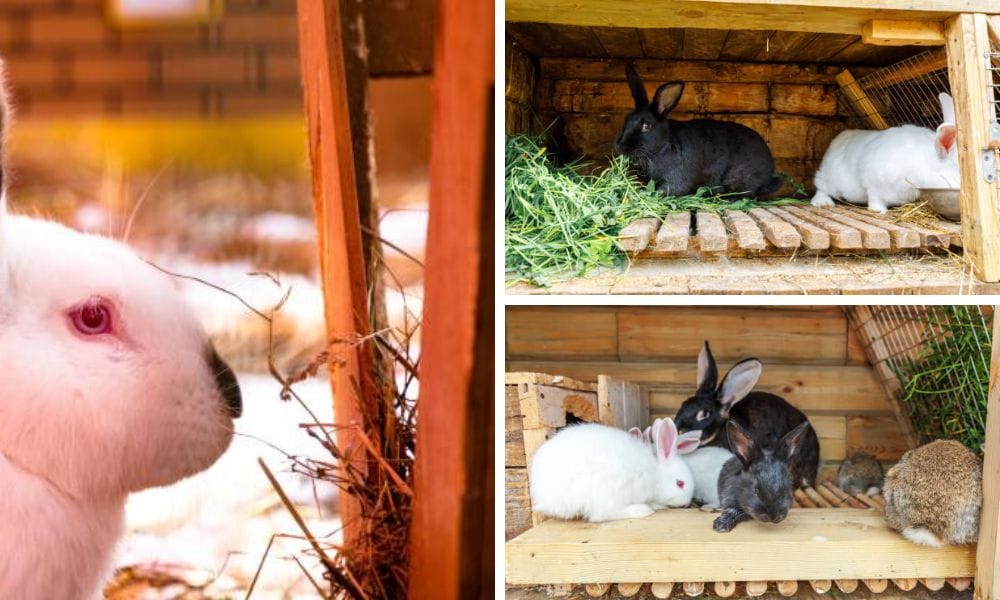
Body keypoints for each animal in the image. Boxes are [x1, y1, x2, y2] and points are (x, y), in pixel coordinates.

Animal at [529, 418, 700, 522]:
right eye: (680, 483)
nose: (687, 503)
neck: (654, 474)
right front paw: (657, 506)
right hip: (607, 492)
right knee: (602, 515)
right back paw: (641, 510)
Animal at [810, 92, 959, 214]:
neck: (923, 164)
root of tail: (838, 137)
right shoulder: (875, 182)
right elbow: (875, 198)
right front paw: (879, 210)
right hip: (830, 179)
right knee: (821, 187)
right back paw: (823, 202)